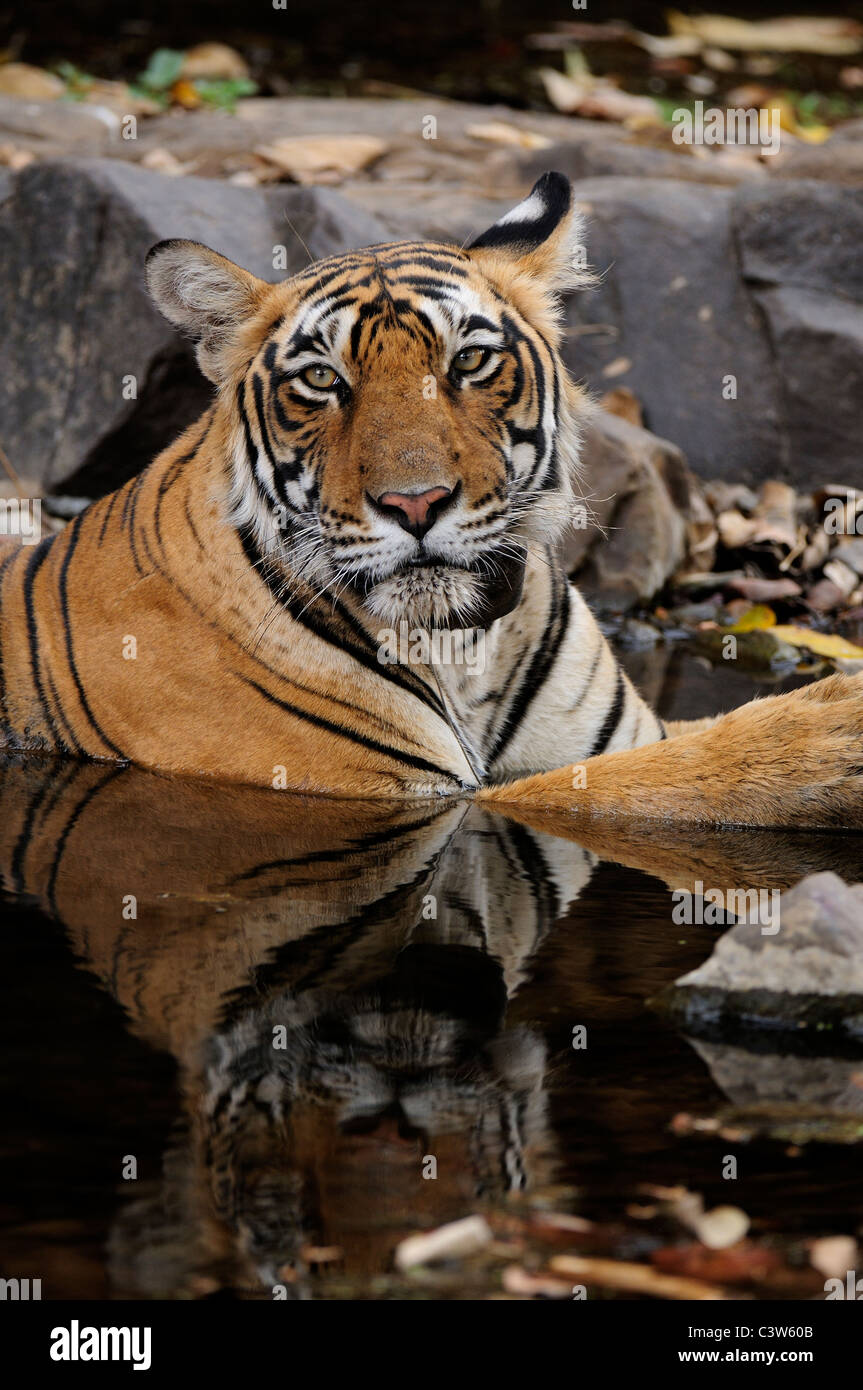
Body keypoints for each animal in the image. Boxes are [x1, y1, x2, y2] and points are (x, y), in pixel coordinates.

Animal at [1, 170, 862, 828]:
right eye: (322, 380)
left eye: (470, 362)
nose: (415, 505)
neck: (467, 647)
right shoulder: (418, 796)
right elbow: (647, 782)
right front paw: (827, 733)